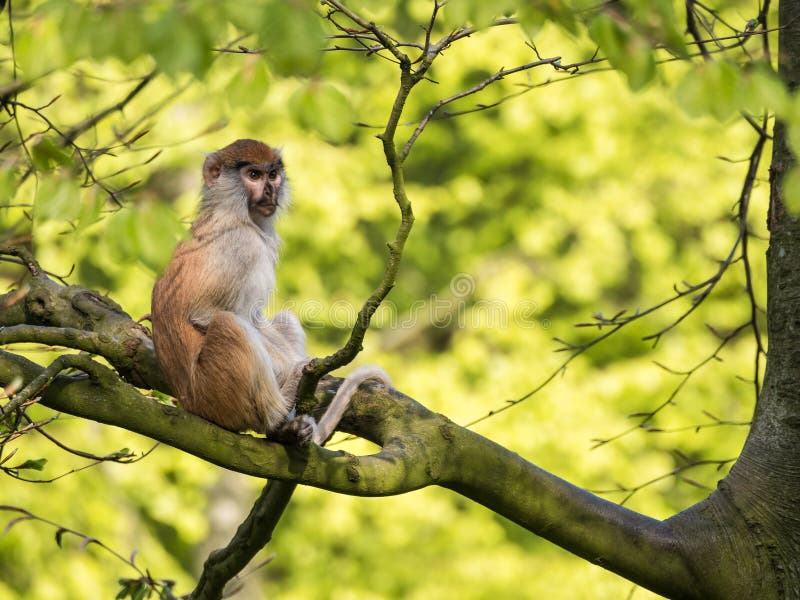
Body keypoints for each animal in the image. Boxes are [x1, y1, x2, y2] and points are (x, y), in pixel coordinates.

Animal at [151, 139, 391, 445]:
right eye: (253, 175)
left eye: (273, 174)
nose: (269, 190)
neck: (233, 211)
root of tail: (190, 404)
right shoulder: (241, 245)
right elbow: (205, 314)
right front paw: (295, 372)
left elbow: (257, 318)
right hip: (217, 394)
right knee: (228, 324)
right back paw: (278, 414)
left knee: (282, 320)